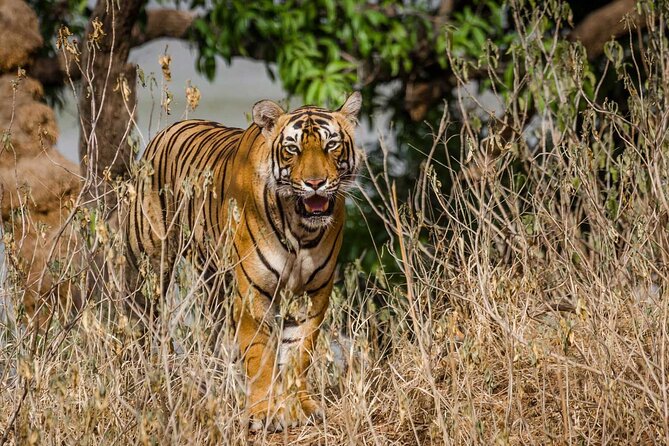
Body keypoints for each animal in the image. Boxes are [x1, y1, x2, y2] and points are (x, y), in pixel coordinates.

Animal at [125, 92, 363, 432]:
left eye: (331, 145)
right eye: (293, 149)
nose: (315, 183)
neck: (301, 230)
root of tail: (169, 129)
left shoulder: (312, 294)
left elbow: (299, 353)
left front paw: (300, 407)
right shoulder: (253, 293)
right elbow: (260, 355)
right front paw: (264, 412)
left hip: (215, 280)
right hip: (151, 264)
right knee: (142, 320)